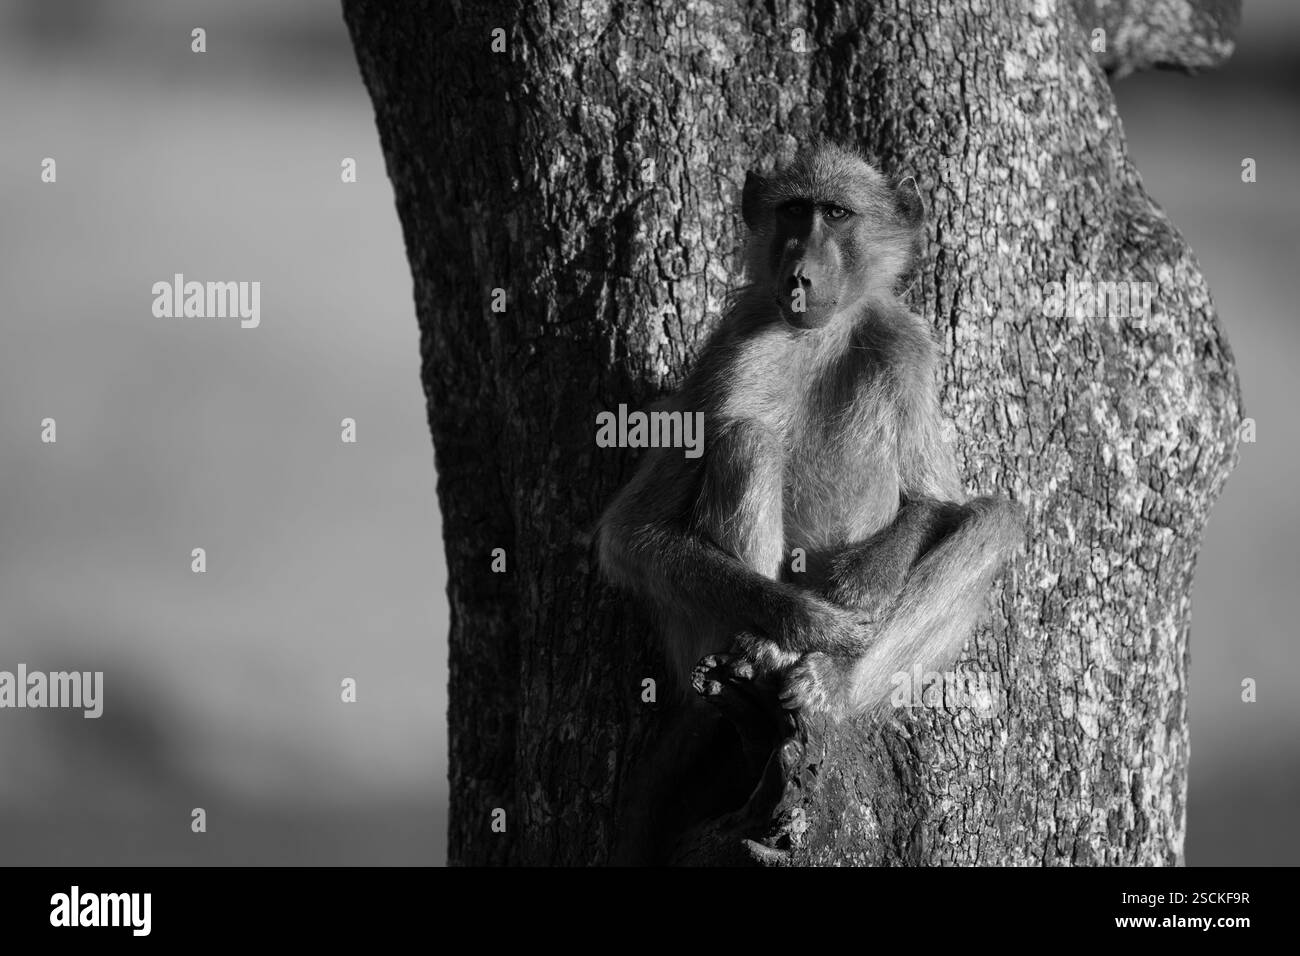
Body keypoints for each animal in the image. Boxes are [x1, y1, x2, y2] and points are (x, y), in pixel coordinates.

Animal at [598, 142, 1025, 728]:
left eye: (837, 214)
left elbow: (937, 501)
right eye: (795, 211)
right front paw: (811, 620)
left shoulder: (909, 348)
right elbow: (632, 533)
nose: (800, 275)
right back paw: (764, 651)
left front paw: (864, 581)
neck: (823, 336)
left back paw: (831, 681)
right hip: (702, 634)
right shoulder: (729, 353)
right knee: (748, 439)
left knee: (995, 521)